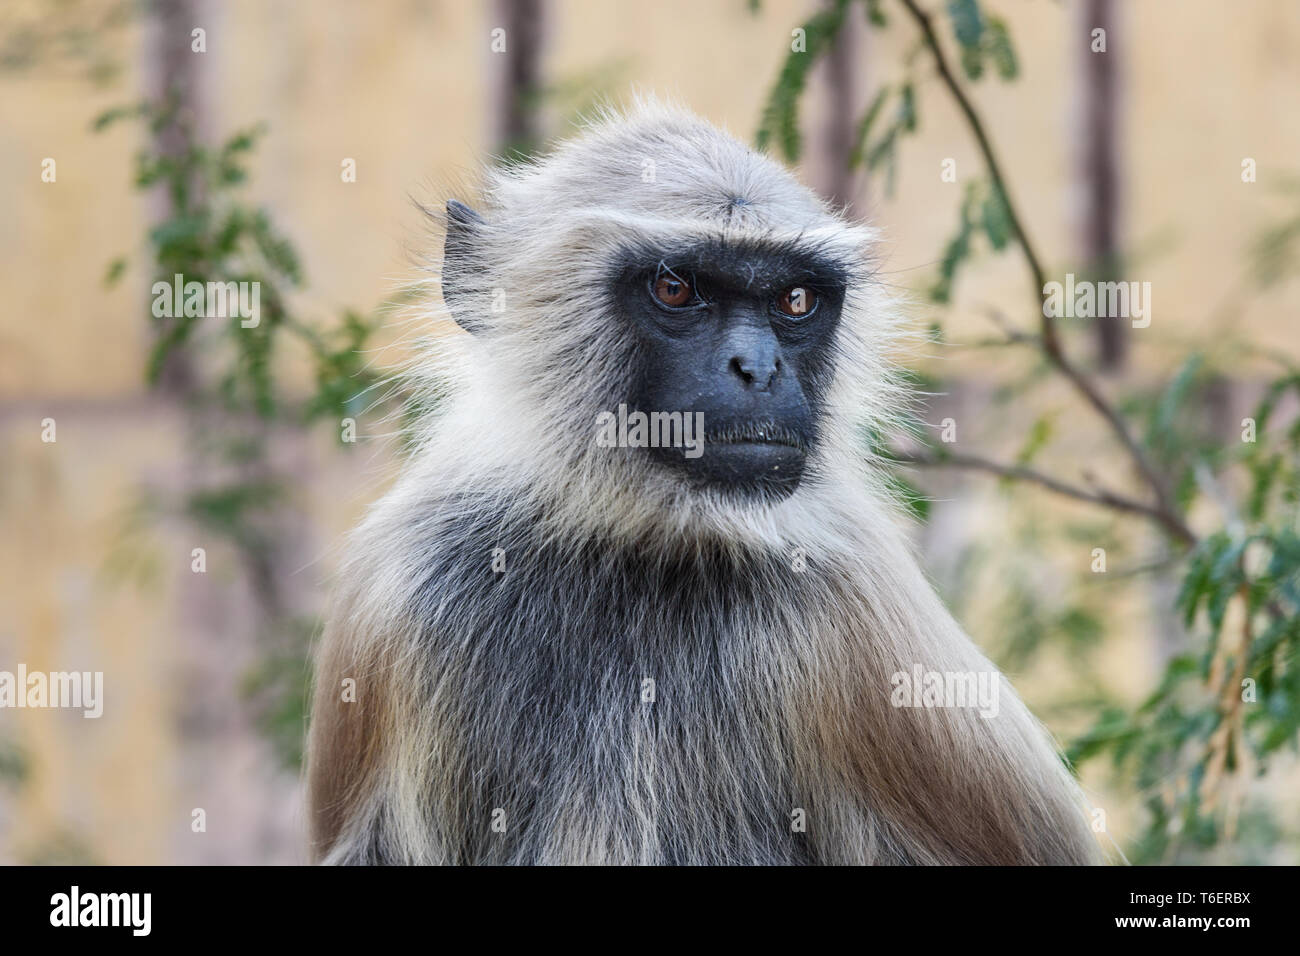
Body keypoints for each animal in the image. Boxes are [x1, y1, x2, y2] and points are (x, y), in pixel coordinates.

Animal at [306, 98, 1103, 865]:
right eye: (675, 287)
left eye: (794, 302)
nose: (760, 369)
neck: (640, 544)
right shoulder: (406, 583)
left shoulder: (857, 601)